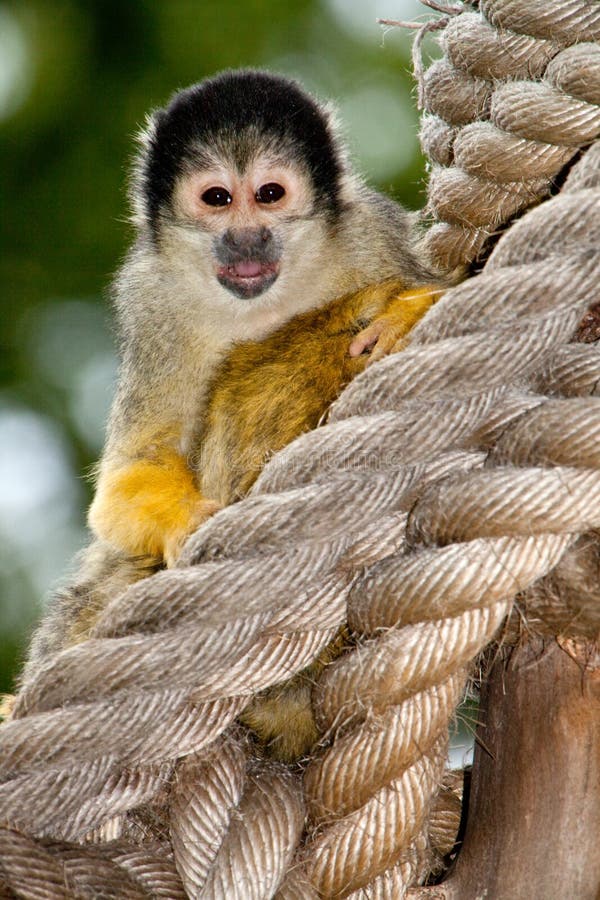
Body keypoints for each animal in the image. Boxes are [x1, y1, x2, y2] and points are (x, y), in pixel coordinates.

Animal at [12, 70, 443, 758]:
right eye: (217, 198)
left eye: (269, 195)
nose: (245, 238)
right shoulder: (151, 303)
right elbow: (125, 481)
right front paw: (189, 523)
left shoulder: (372, 232)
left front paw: (406, 311)